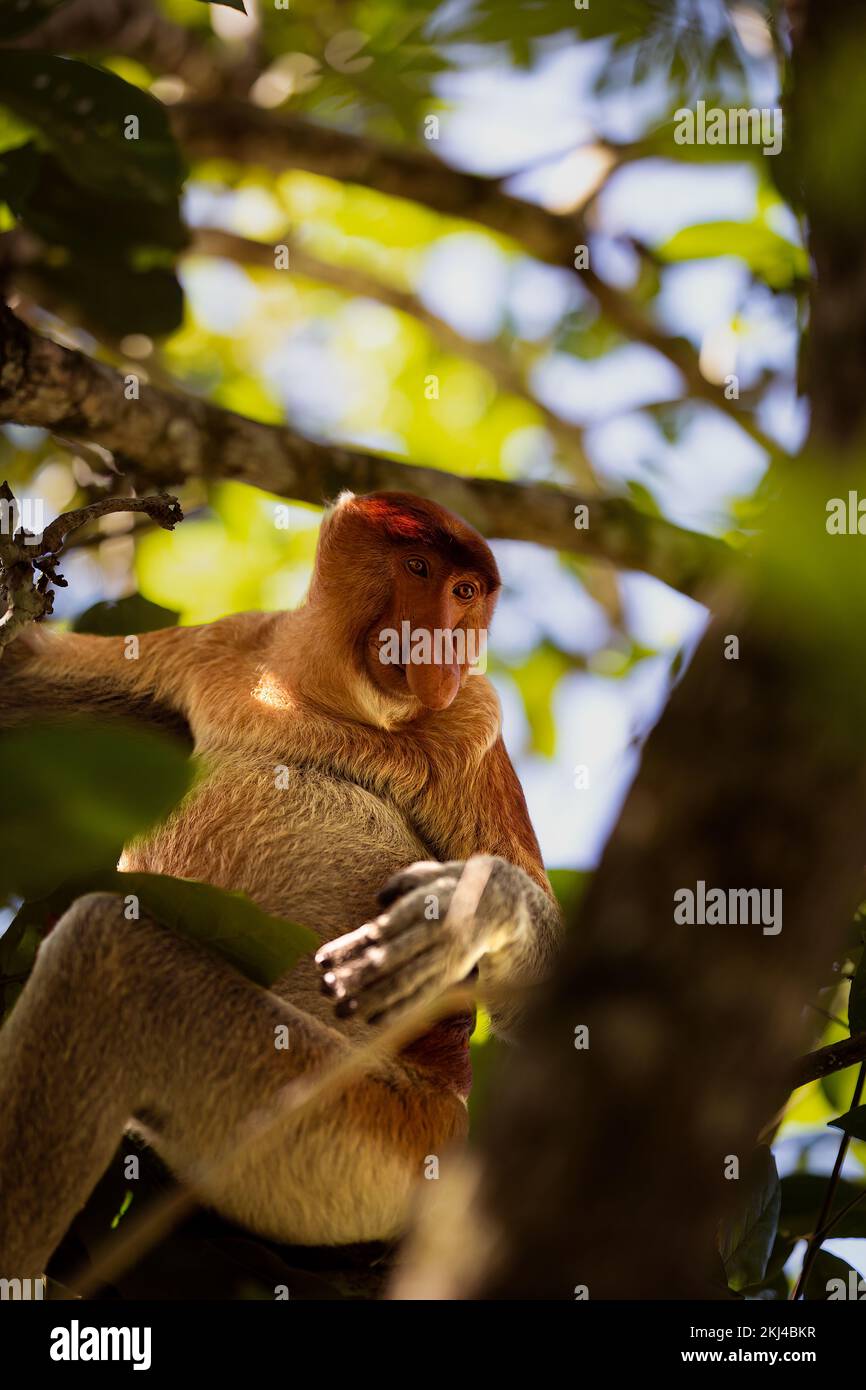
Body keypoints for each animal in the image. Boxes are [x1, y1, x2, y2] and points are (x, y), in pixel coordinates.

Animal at [0, 490, 561, 1278]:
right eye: (419, 569)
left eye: (466, 593)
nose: (441, 648)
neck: (316, 692)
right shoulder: (217, 643)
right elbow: (19, 688)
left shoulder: (472, 723)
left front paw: (459, 911)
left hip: (365, 1132)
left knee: (112, 961)